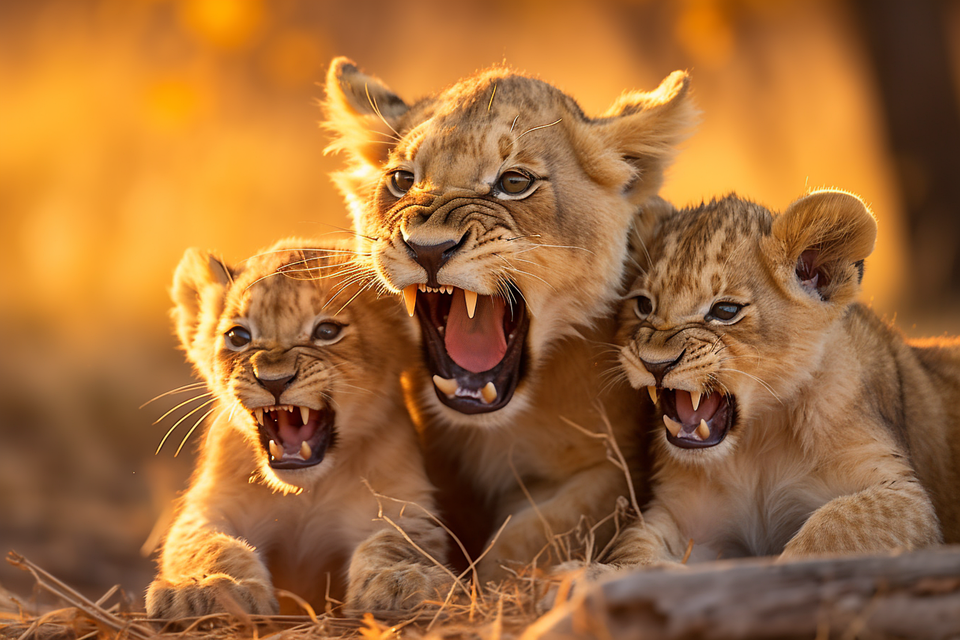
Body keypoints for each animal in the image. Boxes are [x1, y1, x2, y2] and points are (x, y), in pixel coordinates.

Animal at [146, 239, 450, 618]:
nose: (273, 380)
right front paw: (206, 588)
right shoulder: (209, 506)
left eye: (327, 332)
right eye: (238, 336)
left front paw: (400, 581)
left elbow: (396, 540)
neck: (307, 490)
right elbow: (208, 545)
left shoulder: (402, 503)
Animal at [322, 59, 697, 580]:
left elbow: (533, 532)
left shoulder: (617, 468)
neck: (498, 428)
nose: (428, 249)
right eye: (401, 179)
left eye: (515, 182)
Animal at [599, 190, 960, 571]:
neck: (758, 439)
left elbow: (833, 525)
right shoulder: (687, 518)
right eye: (643, 305)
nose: (655, 364)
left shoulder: (905, 495)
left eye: (725, 311)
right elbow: (634, 545)